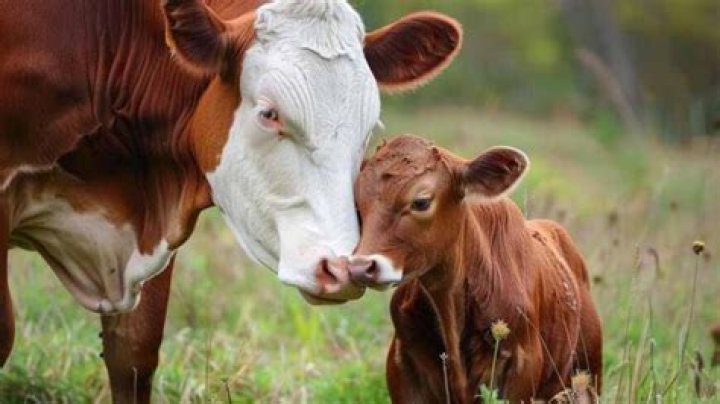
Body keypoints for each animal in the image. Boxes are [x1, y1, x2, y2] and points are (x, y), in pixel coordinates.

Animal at [349, 135, 603, 403]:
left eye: (421, 202)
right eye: (356, 204)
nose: (359, 267)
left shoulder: (521, 367)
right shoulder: (403, 368)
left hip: (586, 376)